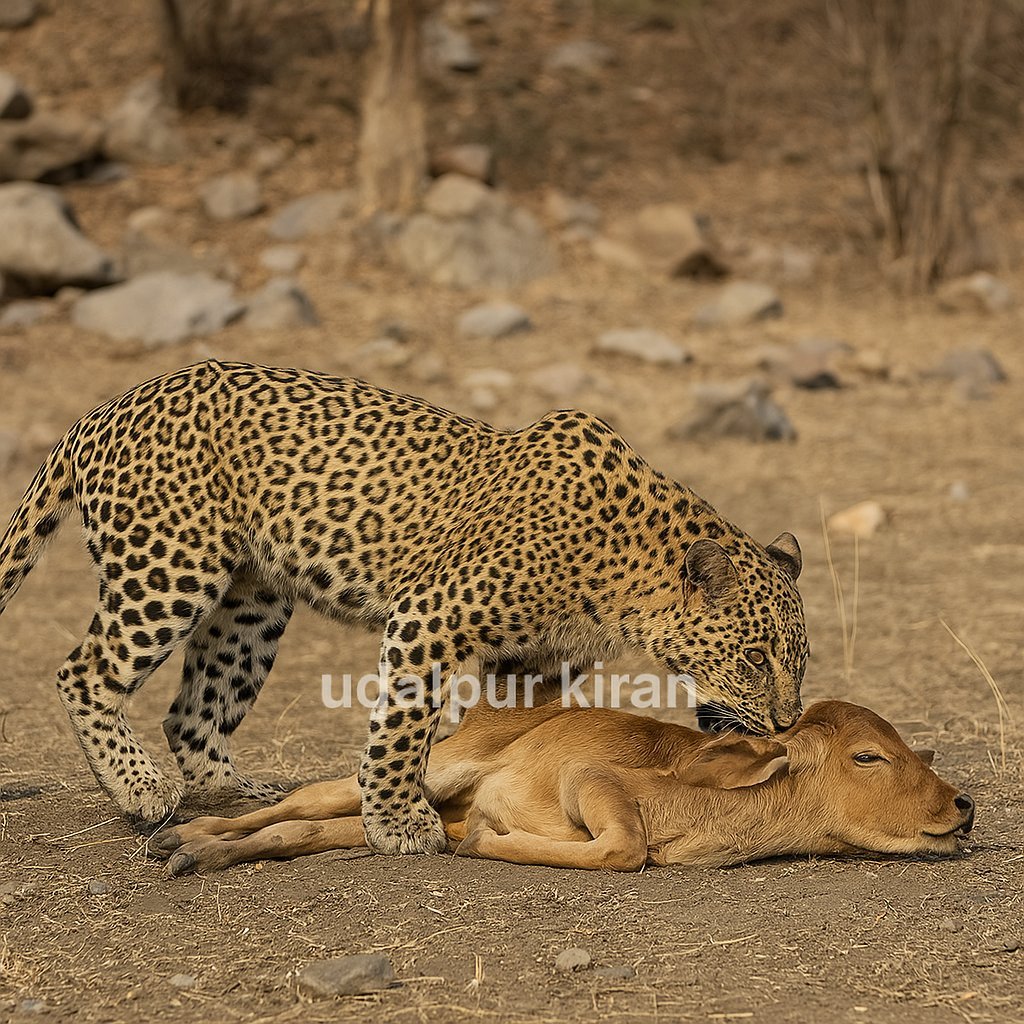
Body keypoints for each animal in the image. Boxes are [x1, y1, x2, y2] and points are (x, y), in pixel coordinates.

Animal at [0, 360, 809, 854]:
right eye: (750, 659)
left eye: (798, 665)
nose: (784, 724)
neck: (624, 568)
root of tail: (102, 411)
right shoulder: (430, 614)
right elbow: (402, 724)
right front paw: (398, 822)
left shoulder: (533, 661)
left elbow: (502, 730)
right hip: (169, 568)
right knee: (84, 672)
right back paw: (141, 792)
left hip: (252, 602)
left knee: (190, 708)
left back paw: (228, 791)